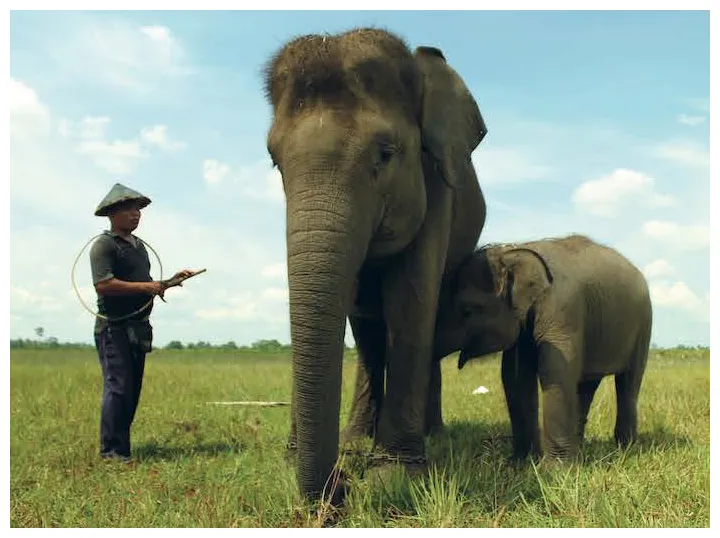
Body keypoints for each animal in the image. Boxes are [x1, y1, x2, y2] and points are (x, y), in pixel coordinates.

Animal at [262, 28, 488, 500]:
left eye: (386, 154)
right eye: (275, 161)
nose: (342, 484)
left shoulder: (436, 181)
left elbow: (410, 297)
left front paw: (394, 478)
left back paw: (432, 436)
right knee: (366, 327)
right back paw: (357, 439)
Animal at [432, 234, 653, 462]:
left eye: (467, 311)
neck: (512, 253)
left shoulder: (563, 309)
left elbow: (555, 371)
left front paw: (556, 468)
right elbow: (515, 376)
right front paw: (521, 462)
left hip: (644, 324)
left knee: (628, 382)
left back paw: (625, 449)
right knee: (587, 385)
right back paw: (582, 447)